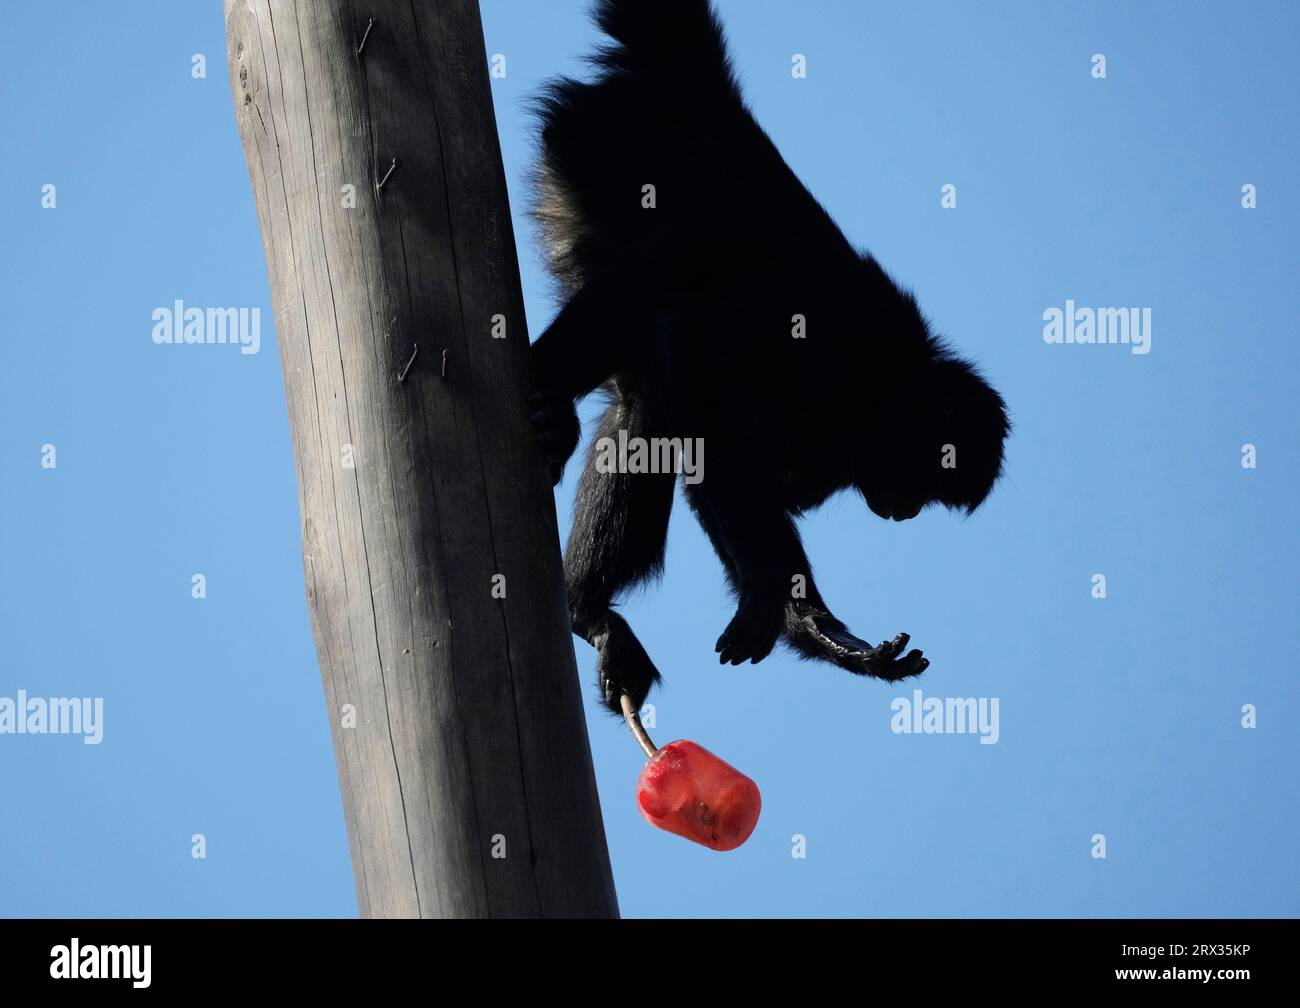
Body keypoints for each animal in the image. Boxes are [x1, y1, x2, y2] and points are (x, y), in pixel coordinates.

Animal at [527, 0, 1010, 715]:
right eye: (928, 477)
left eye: (929, 496)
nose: (906, 511)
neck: (883, 384)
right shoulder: (831, 339)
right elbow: (694, 359)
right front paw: (785, 608)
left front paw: (820, 635)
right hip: (610, 158)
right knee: (654, 296)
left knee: (641, 386)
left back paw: (589, 609)